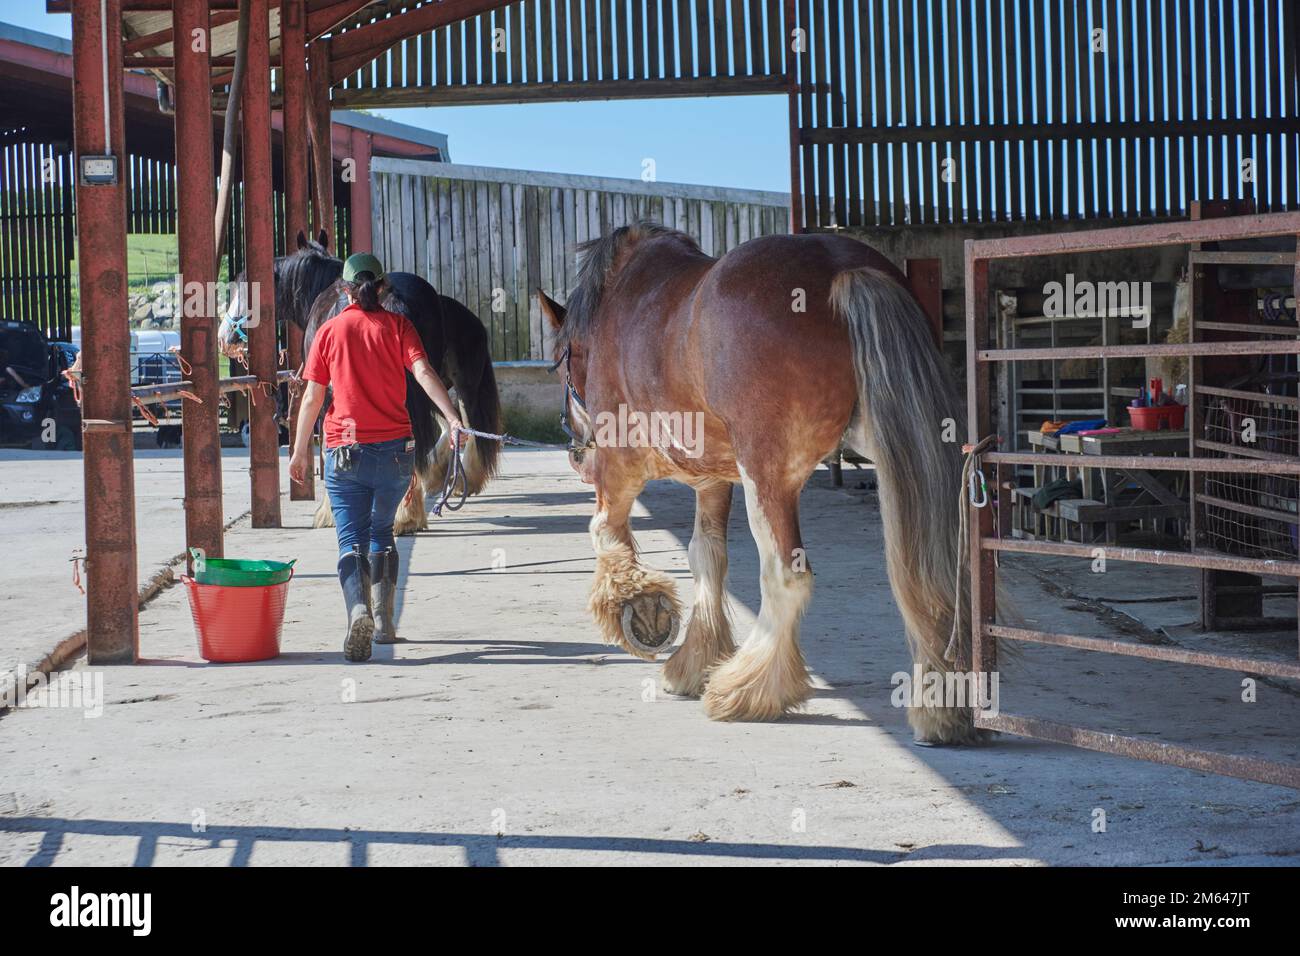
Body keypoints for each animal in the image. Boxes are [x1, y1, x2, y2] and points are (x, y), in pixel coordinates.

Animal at [539, 222, 975, 744]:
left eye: (561, 364)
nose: (576, 455)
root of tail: (842, 266)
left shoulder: (620, 469)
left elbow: (605, 532)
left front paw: (640, 609)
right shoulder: (712, 481)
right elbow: (706, 556)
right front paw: (695, 659)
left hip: (767, 478)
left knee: (787, 576)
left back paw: (748, 690)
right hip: (894, 453)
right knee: (923, 570)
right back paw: (940, 710)